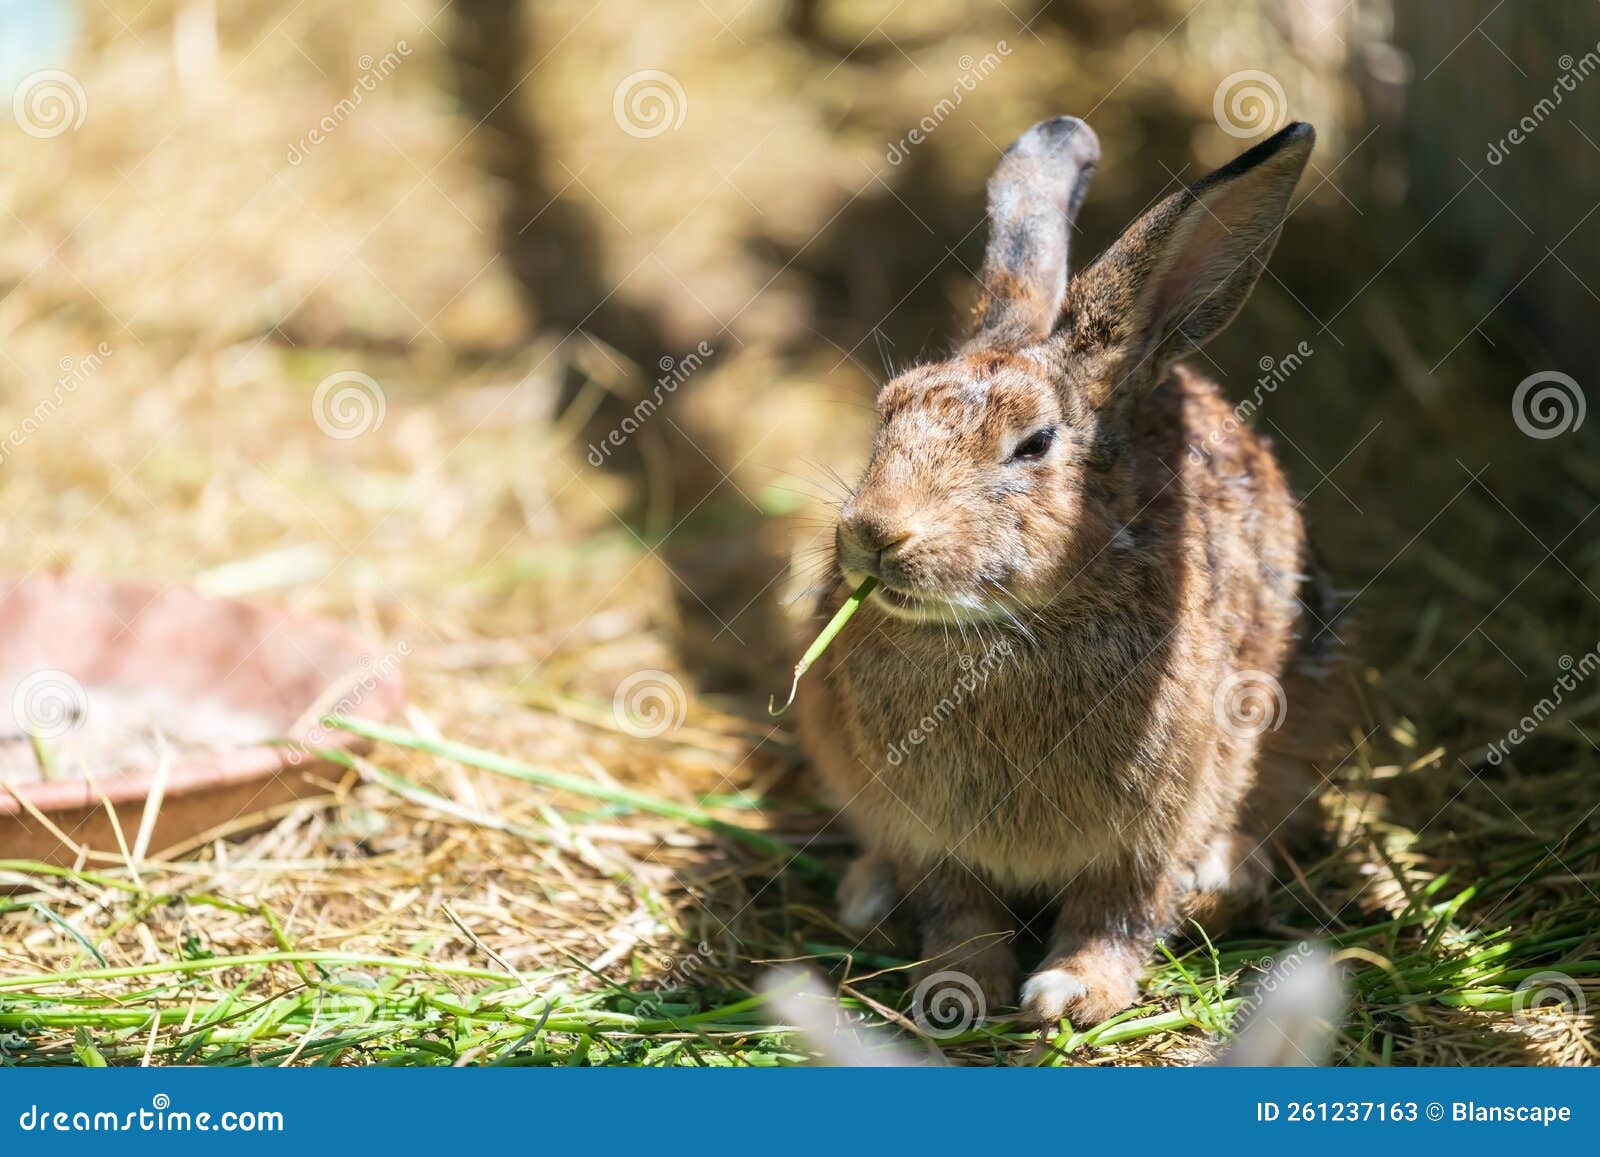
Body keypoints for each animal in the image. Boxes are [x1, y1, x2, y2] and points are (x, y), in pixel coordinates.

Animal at [795, 116, 1347, 1030]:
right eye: (886, 414)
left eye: (1034, 445)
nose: (872, 535)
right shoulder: (926, 830)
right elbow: (956, 905)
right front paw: (958, 986)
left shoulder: (1156, 819)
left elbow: (1120, 907)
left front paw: (1075, 991)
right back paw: (866, 894)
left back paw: (1223, 880)